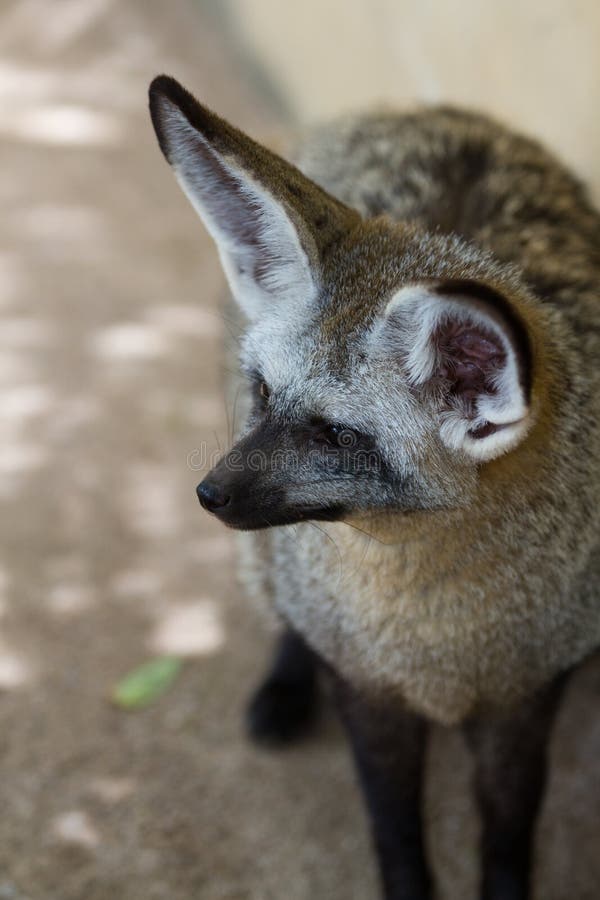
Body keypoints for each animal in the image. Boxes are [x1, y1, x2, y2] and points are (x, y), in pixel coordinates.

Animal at [148, 74, 600, 900]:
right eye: (265, 395)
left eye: (335, 435)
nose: (208, 494)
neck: (436, 645)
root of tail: (434, 108)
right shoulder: (365, 687)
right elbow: (392, 824)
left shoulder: (527, 694)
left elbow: (509, 828)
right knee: (284, 607)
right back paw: (284, 682)